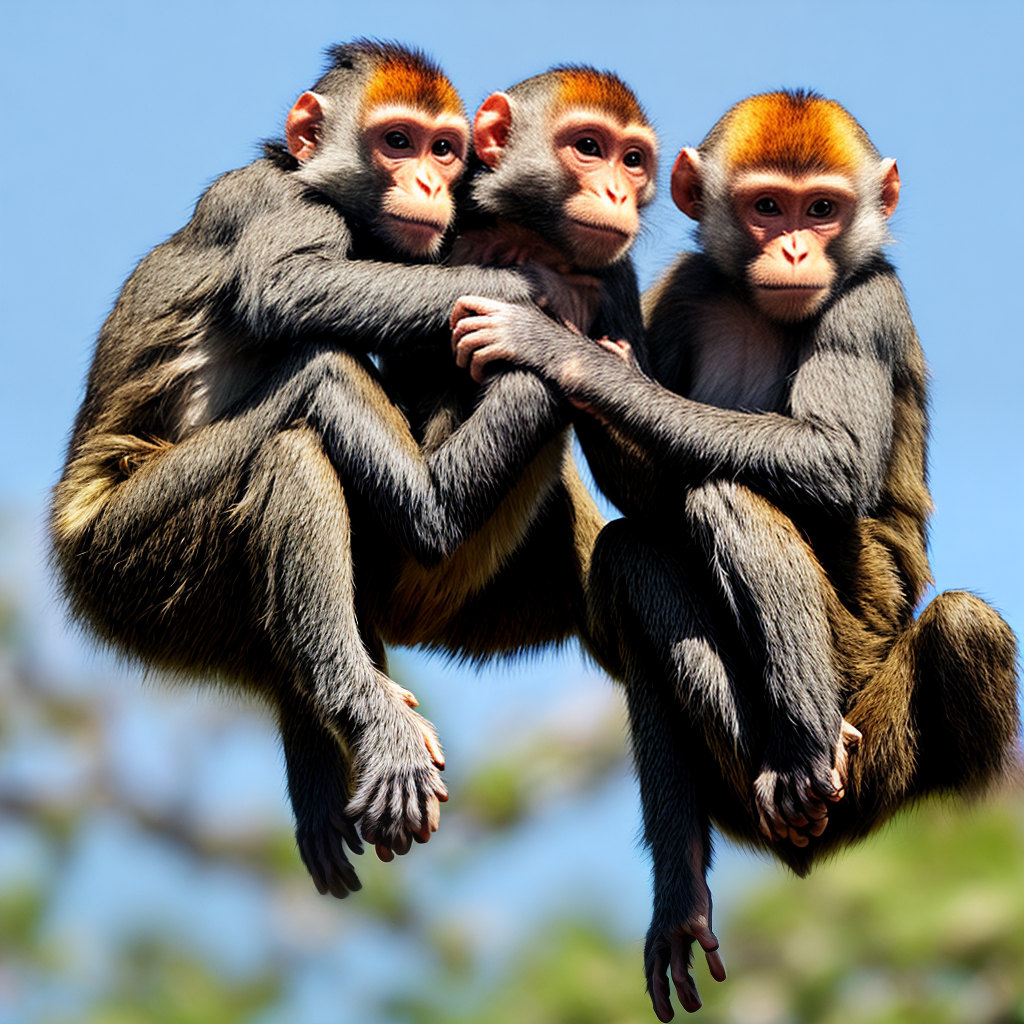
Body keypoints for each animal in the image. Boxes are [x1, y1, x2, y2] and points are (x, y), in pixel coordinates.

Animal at [450, 90, 1020, 1018]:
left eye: (821, 209)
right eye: (767, 208)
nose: (793, 248)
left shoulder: (870, 297)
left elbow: (831, 459)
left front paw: (568, 353)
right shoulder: (684, 291)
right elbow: (645, 506)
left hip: (877, 691)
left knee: (921, 600)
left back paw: (822, 759)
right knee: (633, 554)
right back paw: (742, 816)